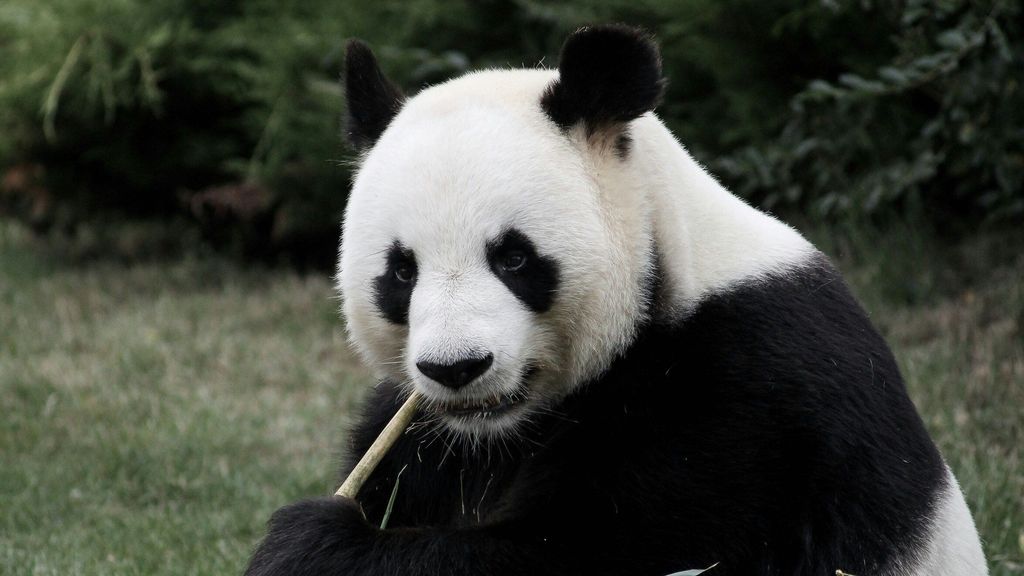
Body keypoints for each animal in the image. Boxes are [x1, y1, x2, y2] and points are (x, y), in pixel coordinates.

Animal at [245, 25, 988, 576]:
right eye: (401, 272)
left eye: (513, 257)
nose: (457, 369)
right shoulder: (422, 434)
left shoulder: (744, 398)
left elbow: (605, 549)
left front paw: (312, 544)